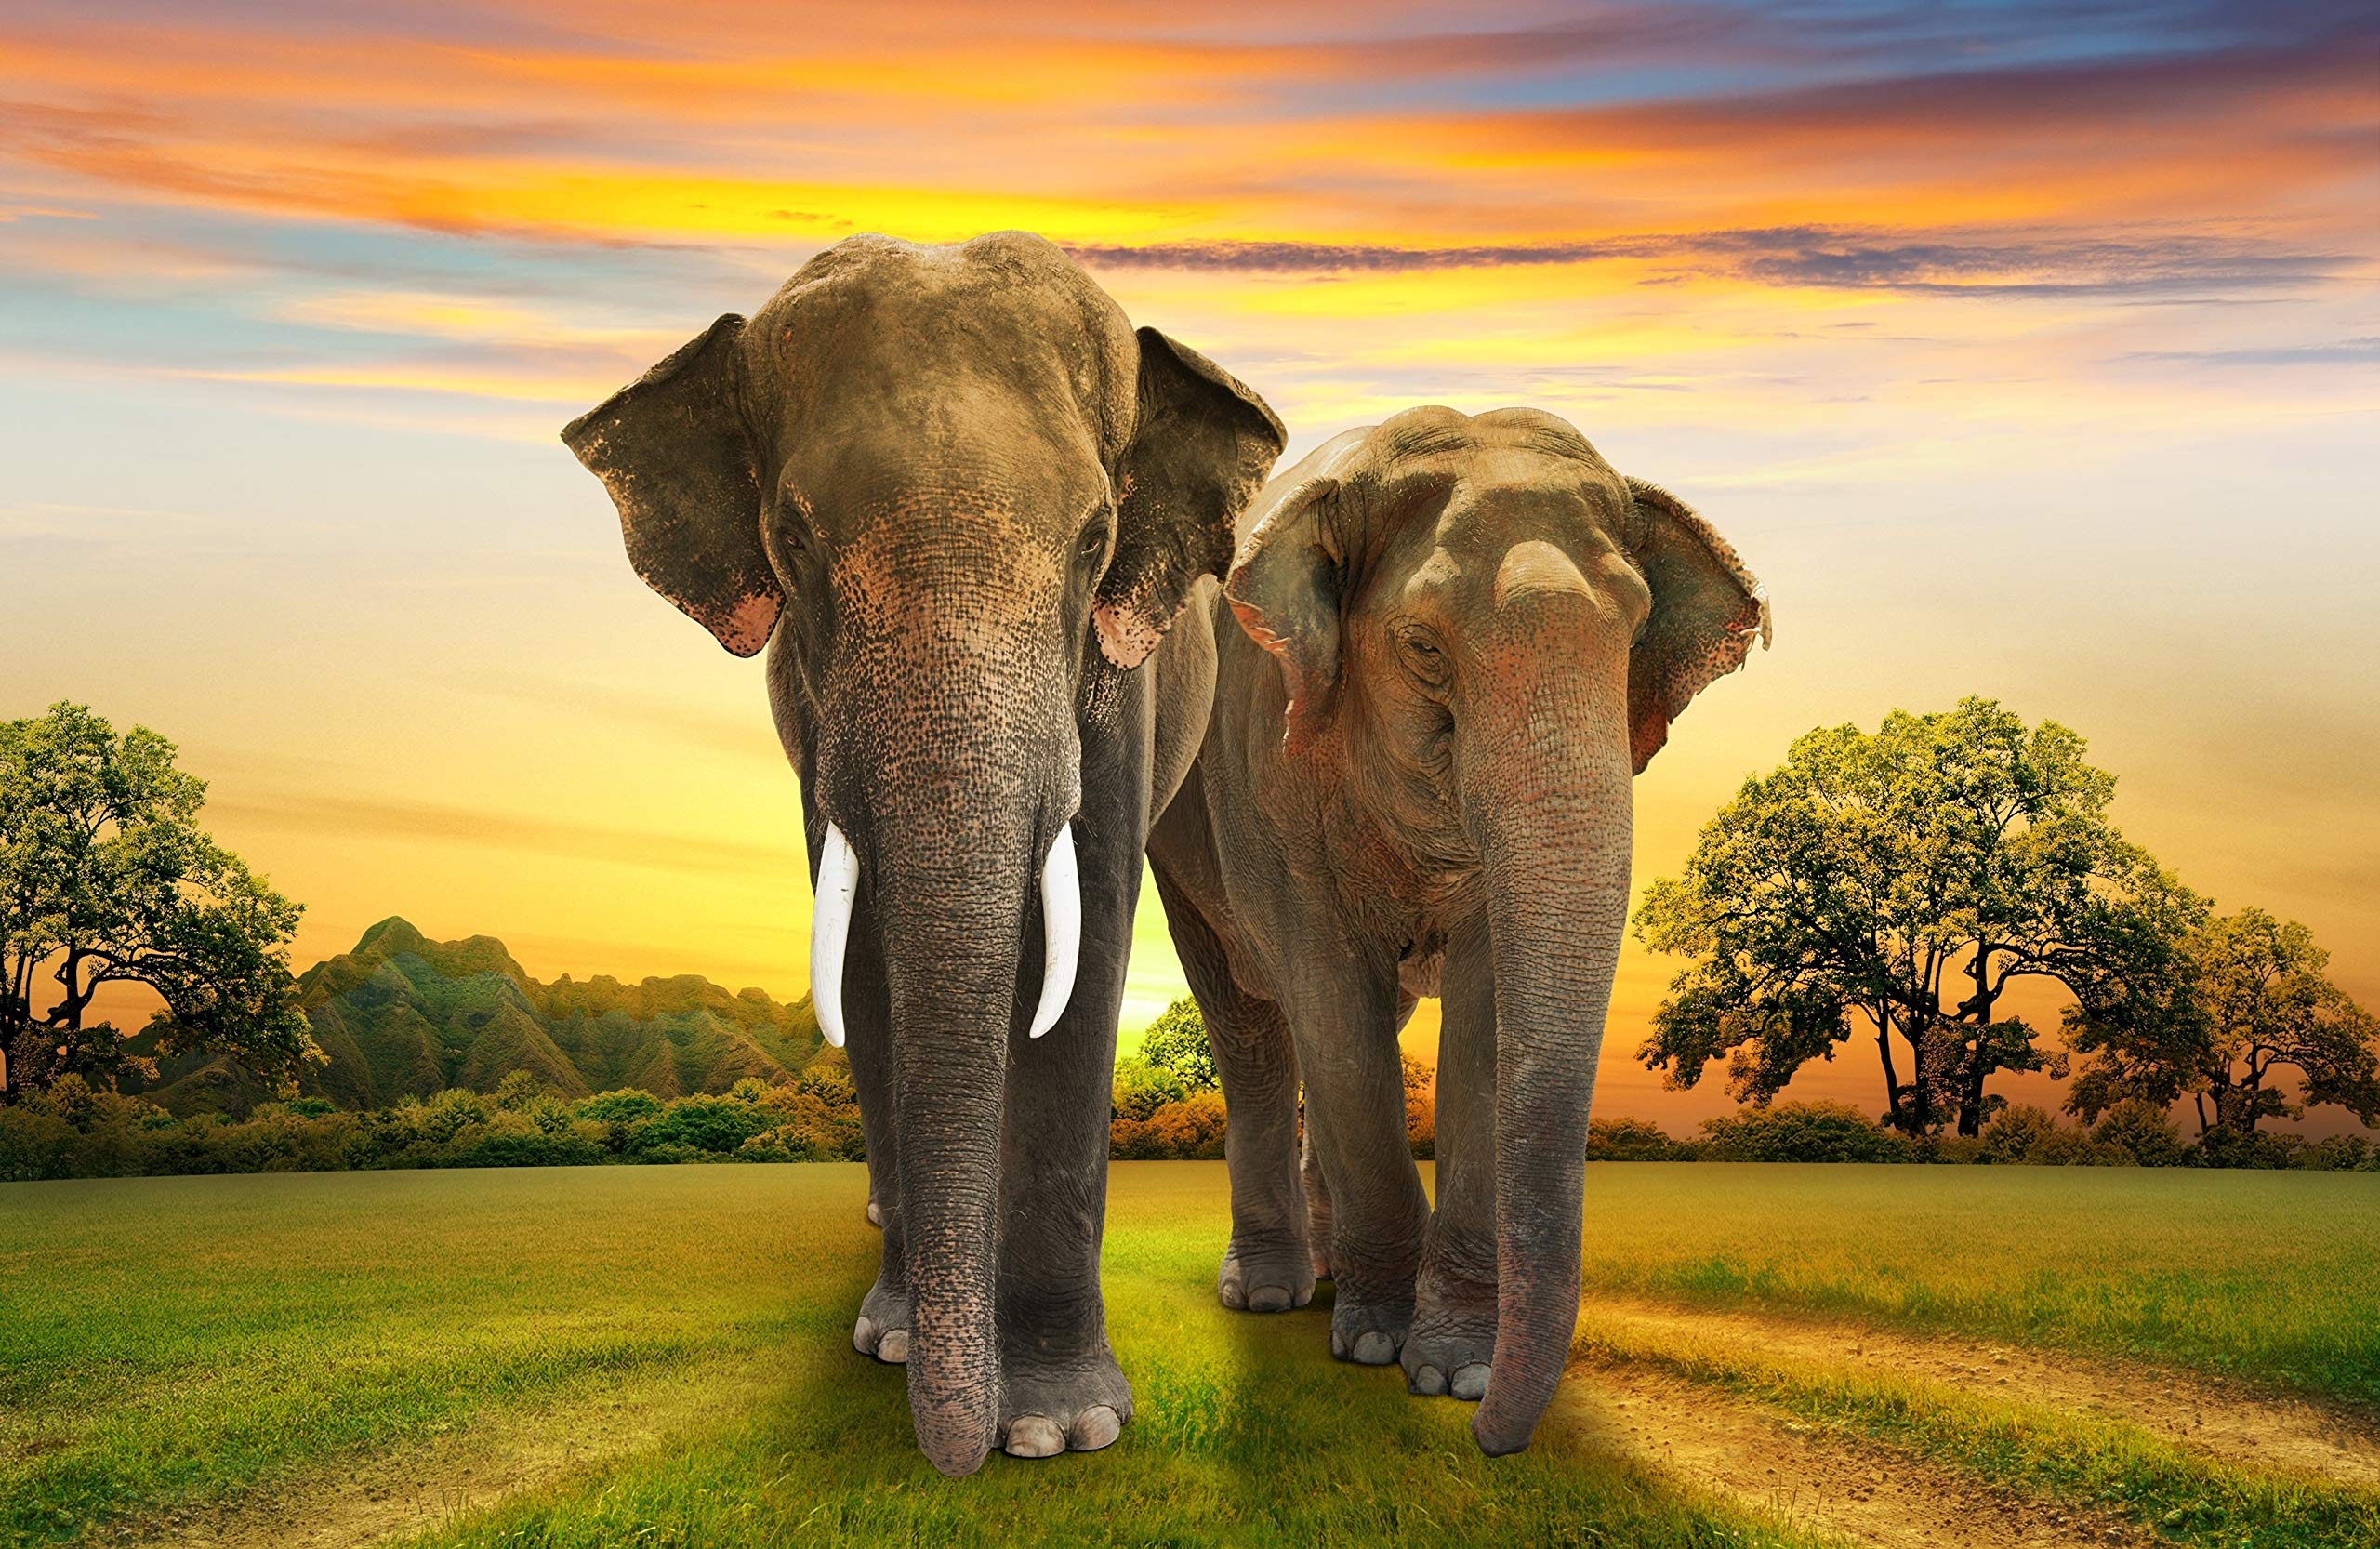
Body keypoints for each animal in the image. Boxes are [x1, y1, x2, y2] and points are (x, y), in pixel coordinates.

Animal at [562, 232, 1284, 1476]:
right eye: (791, 542)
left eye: (1095, 541)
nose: (958, 1460)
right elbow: (861, 966)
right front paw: (895, 1343)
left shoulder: (1119, 685)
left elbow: (1086, 953)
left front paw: (1054, 1428)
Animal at [1147, 405, 1767, 1455]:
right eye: (1423, 647)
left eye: (1633, 635)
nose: (1488, 1439)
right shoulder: (1264, 771)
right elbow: (1332, 1007)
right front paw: (1376, 1346)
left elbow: (1484, 1020)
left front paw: (1451, 1367)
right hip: (1183, 841)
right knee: (1256, 1032)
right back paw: (1275, 1294)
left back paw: (1328, 1277)